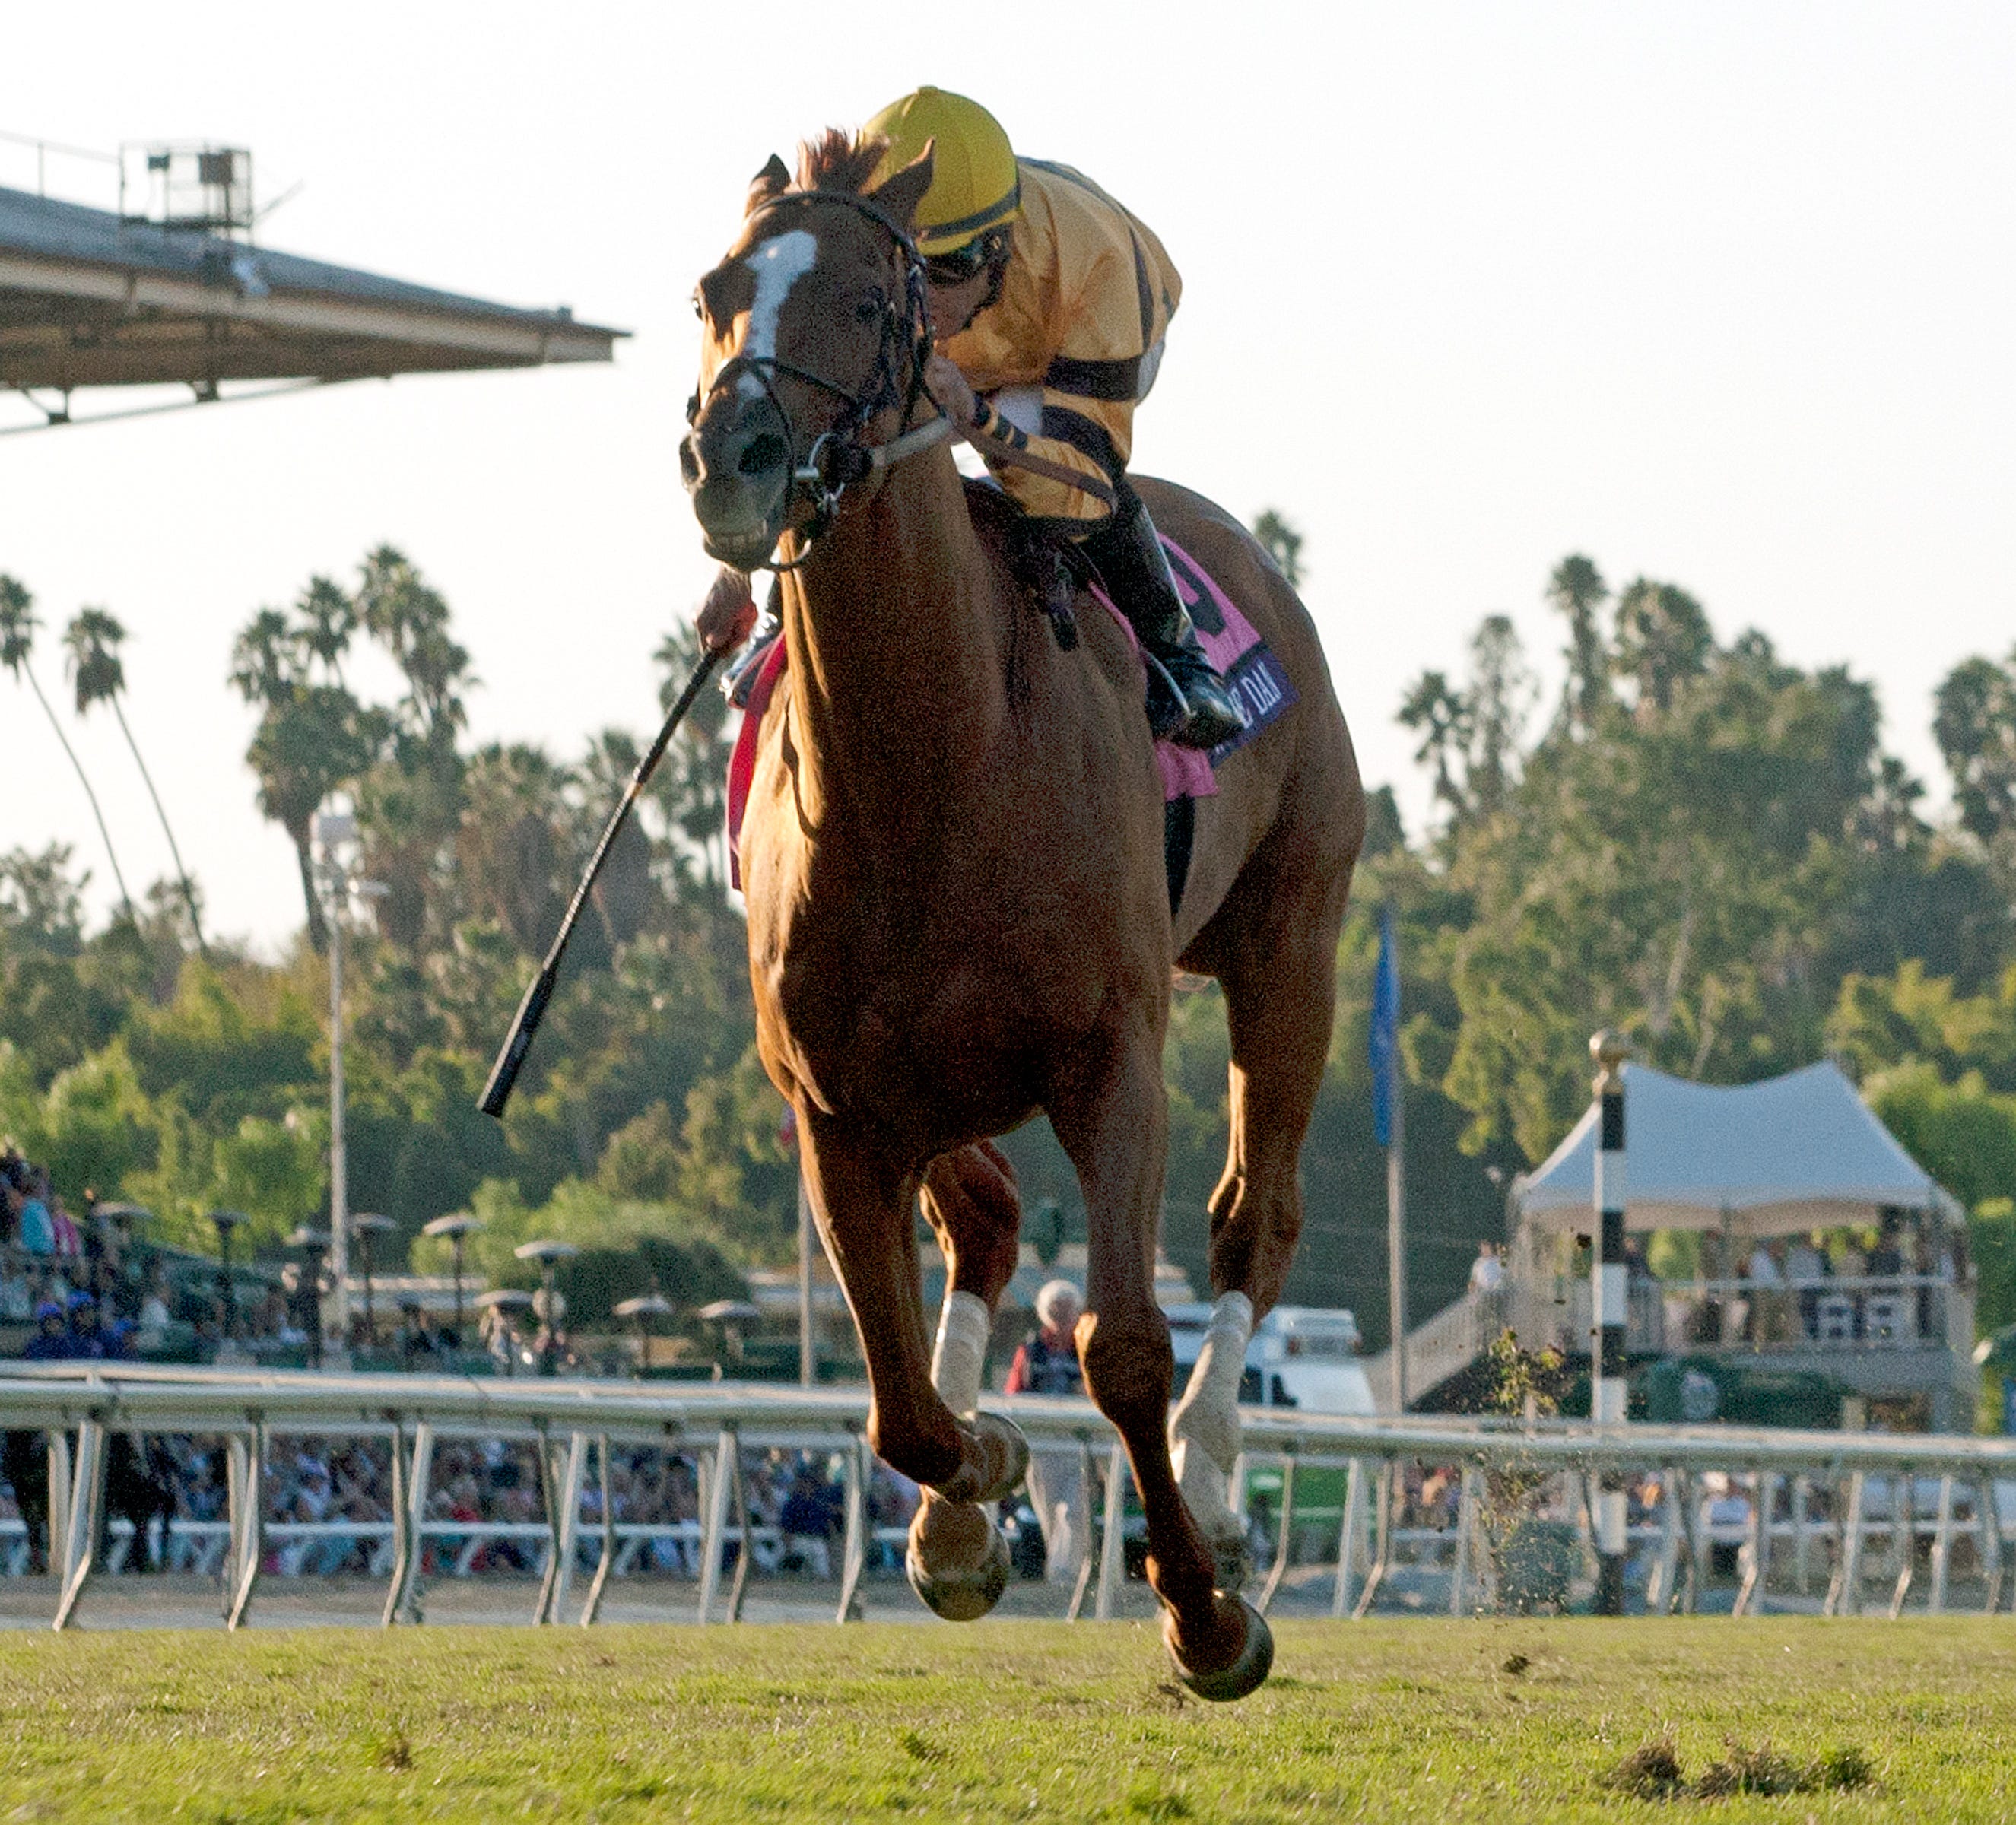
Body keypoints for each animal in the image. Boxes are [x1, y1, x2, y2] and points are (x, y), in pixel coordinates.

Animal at [681, 130, 1364, 1700]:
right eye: (712, 295)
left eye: (865, 304)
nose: (730, 459)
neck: (937, 762)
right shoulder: (836, 1105)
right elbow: (894, 1398)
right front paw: (974, 1486)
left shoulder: (1111, 1055)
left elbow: (1122, 1346)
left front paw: (1205, 1613)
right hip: (934, 1081)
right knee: (987, 1223)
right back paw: (965, 1521)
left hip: (1290, 943)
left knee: (1254, 1220)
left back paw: (1218, 1496)